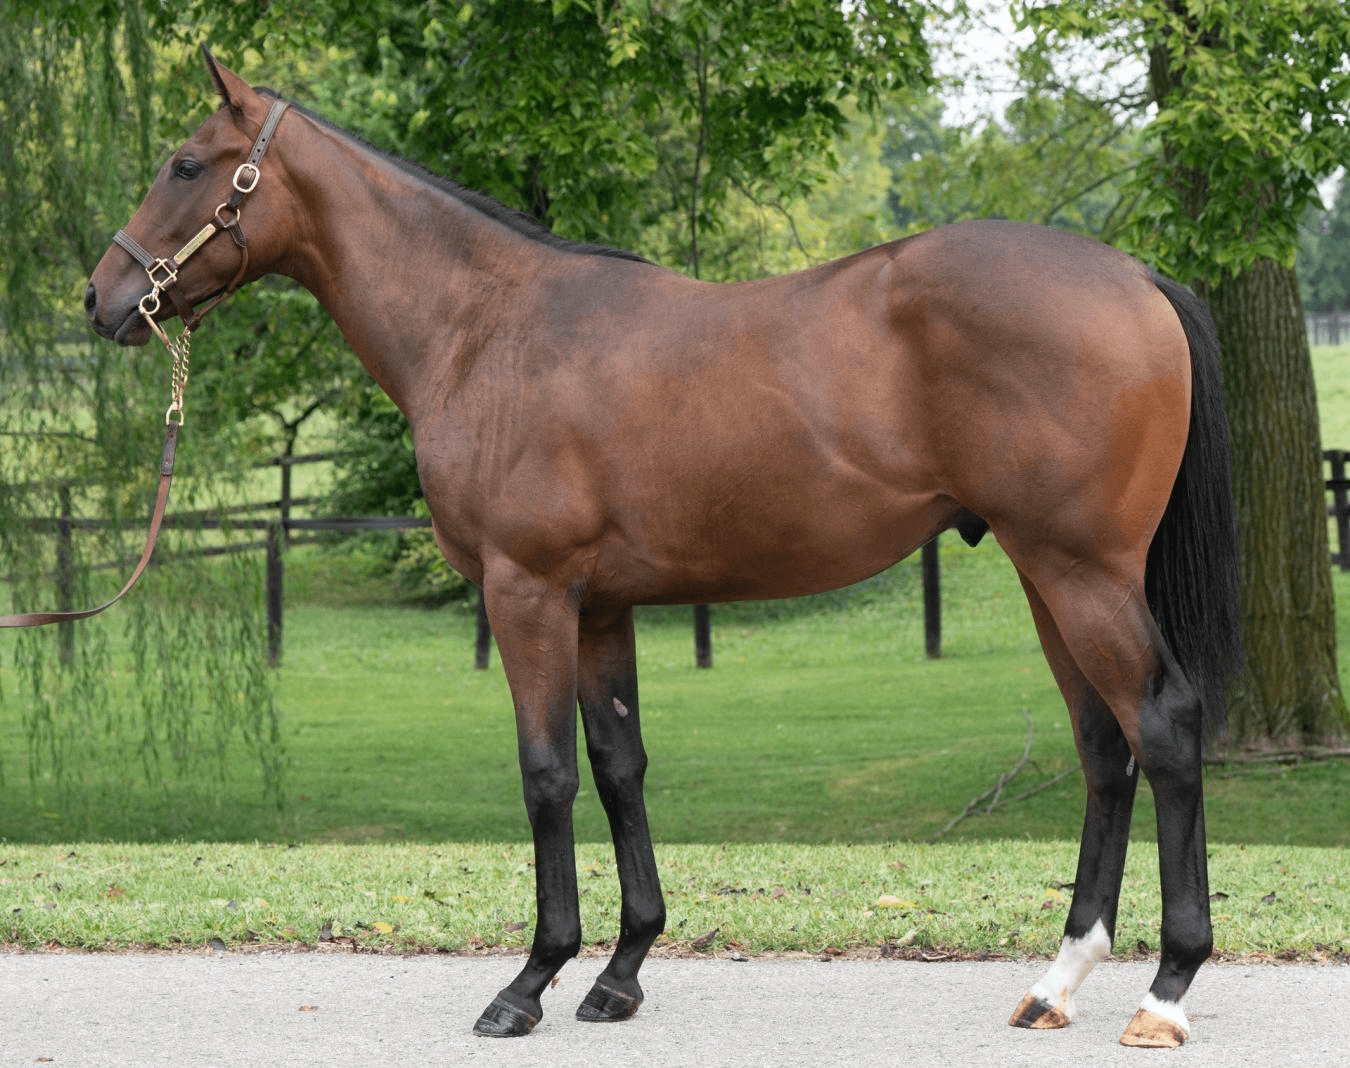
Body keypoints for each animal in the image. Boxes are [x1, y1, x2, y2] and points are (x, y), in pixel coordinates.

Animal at [86, 49, 1242, 1048]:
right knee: (1102, 745)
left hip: (1081, 573)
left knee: (1163, 726)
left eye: (186, 164)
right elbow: (620, 767)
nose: (102, 298)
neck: (486, 328)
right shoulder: (600, 607)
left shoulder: (528, 594)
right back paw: (1057, 983)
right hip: (1047, 574)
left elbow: (547, 774)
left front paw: (529, 982)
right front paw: (621, 972)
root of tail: (1135, 277)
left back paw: (1167, 991)